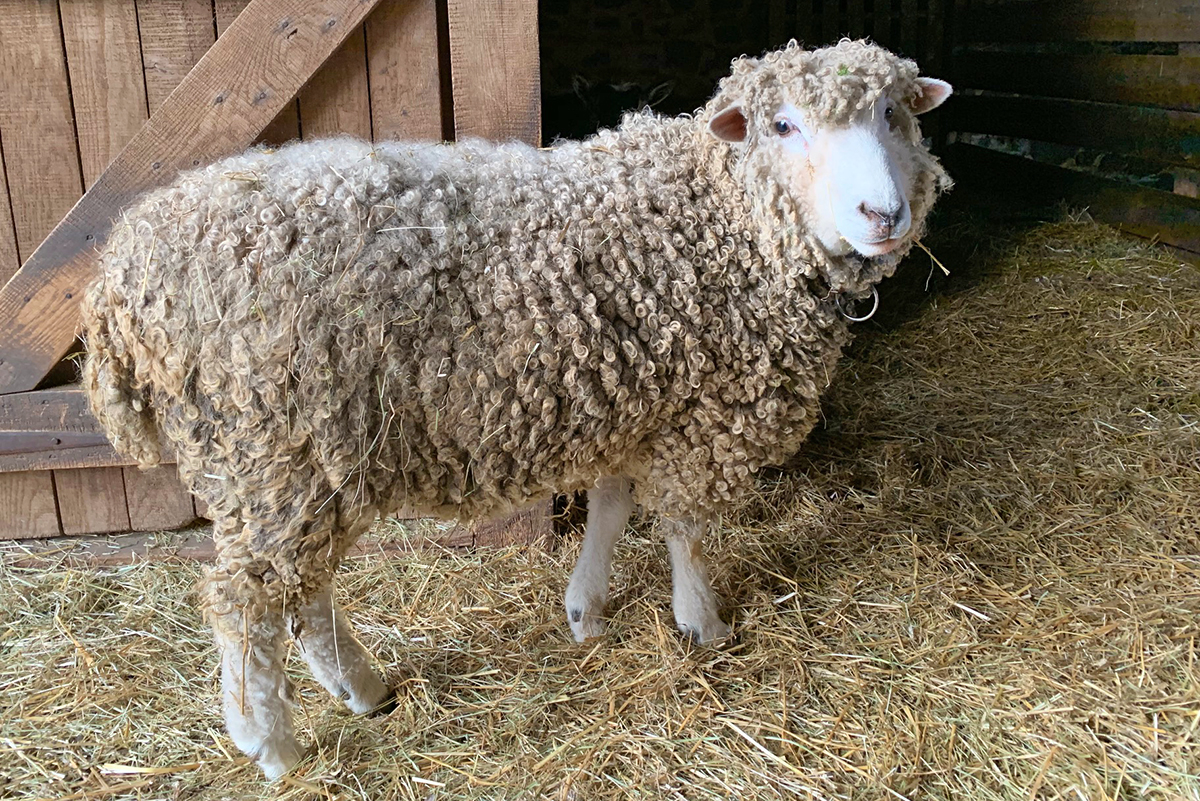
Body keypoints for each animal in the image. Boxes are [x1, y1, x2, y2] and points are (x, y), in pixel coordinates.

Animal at [81, 39, 953, 779]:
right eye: (782, 124)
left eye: (894, 112)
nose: (883, 216)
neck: (719, 217)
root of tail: (121, 273)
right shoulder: (702, 416)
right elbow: (689, 530)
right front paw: (701, 624)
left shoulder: (635, 399)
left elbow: (611, 504)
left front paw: (586, 610)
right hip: (270, 452)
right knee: (249, 600)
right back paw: (272, 744)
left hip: (305, 462)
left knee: (303, 595)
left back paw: (365, 689)